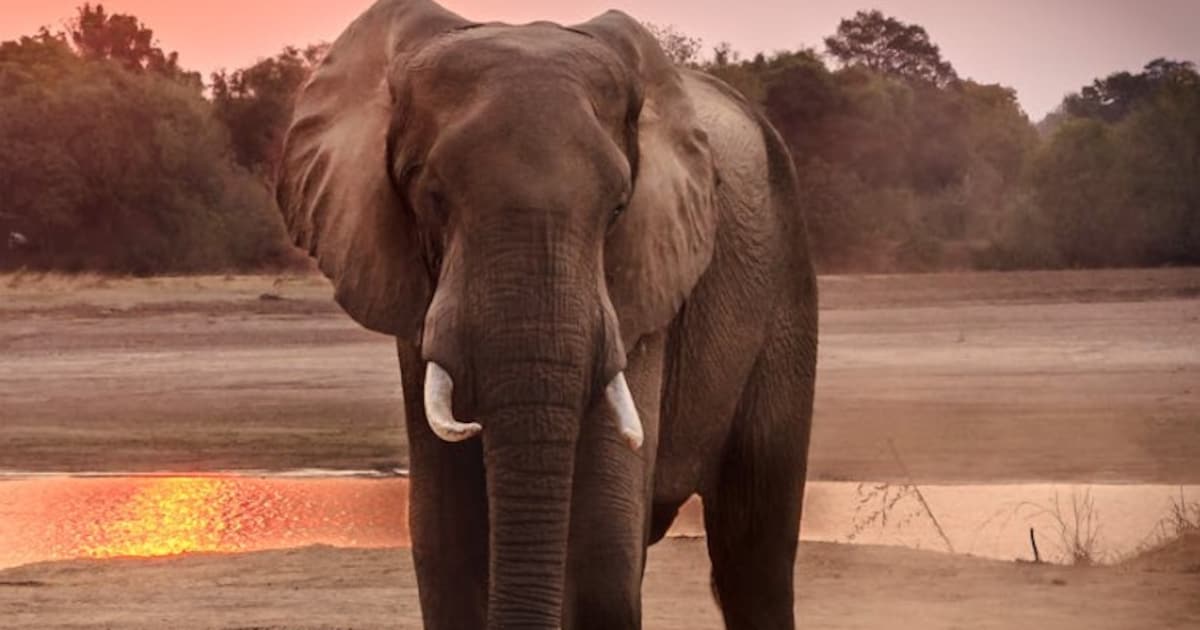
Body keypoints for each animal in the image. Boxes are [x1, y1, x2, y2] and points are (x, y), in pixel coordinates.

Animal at [274, 1, 818, 628]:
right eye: (429, 197)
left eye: (618, 209)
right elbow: (445, 540)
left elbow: (603, 544)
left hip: (786, 279)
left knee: (754, 550)